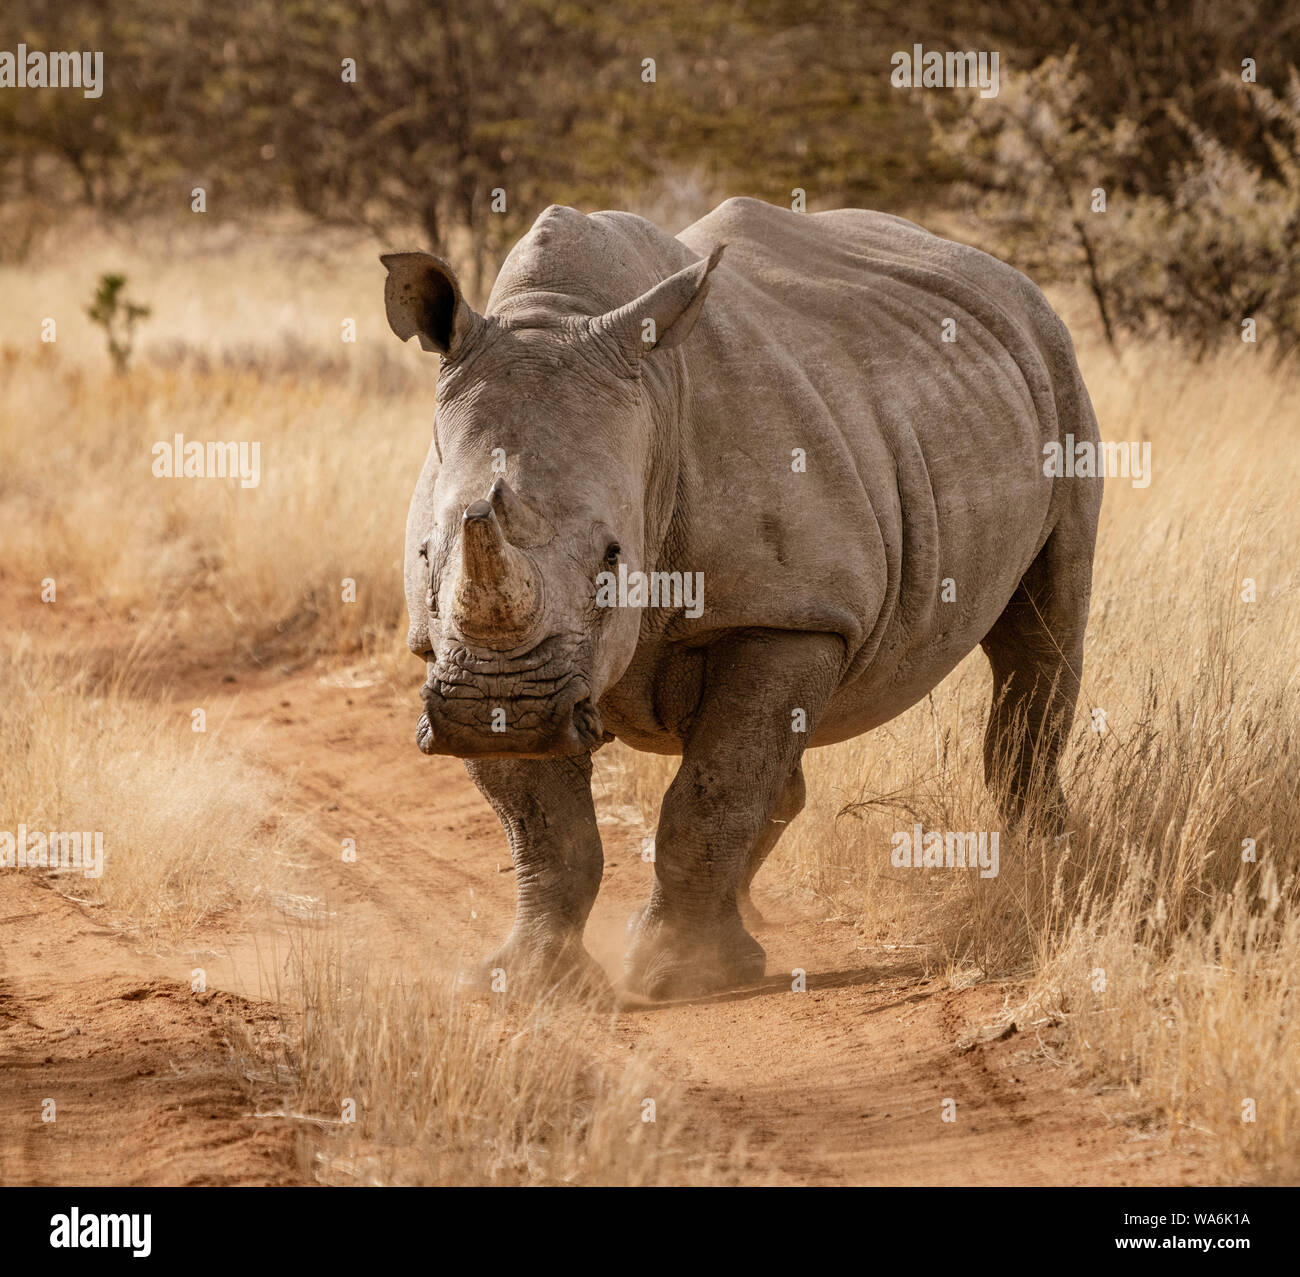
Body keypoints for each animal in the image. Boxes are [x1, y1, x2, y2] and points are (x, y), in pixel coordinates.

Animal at [381, 197, 1102, 1000]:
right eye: (426, 555)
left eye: (613, 559)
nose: (493, 707)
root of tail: (1008, 280)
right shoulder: (464, 656)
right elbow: (544, 822)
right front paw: (531, 982)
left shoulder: (787, 614)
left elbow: (715, 787)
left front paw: (679, 977)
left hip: (1061, 379)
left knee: (1040, 642)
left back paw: (1045, 876)